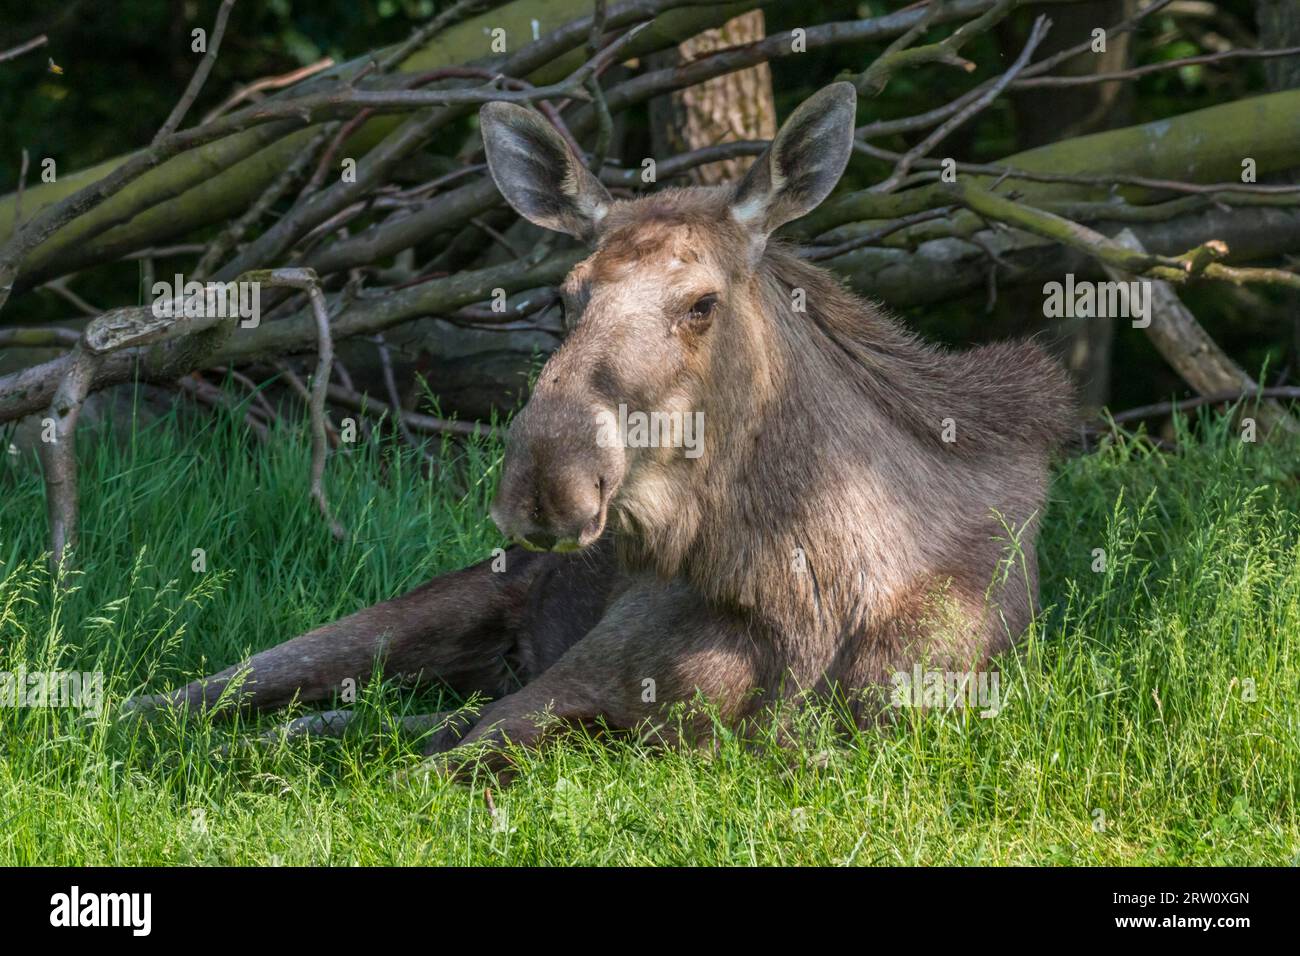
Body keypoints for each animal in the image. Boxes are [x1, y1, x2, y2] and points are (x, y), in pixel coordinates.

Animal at [123, 83, 1075, 777]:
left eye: (702, 302)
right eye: (564, 295)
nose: (548, 481)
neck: (800, 597)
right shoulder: (563, 692)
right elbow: (421, 777)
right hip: (442, 605)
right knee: (209, 693)